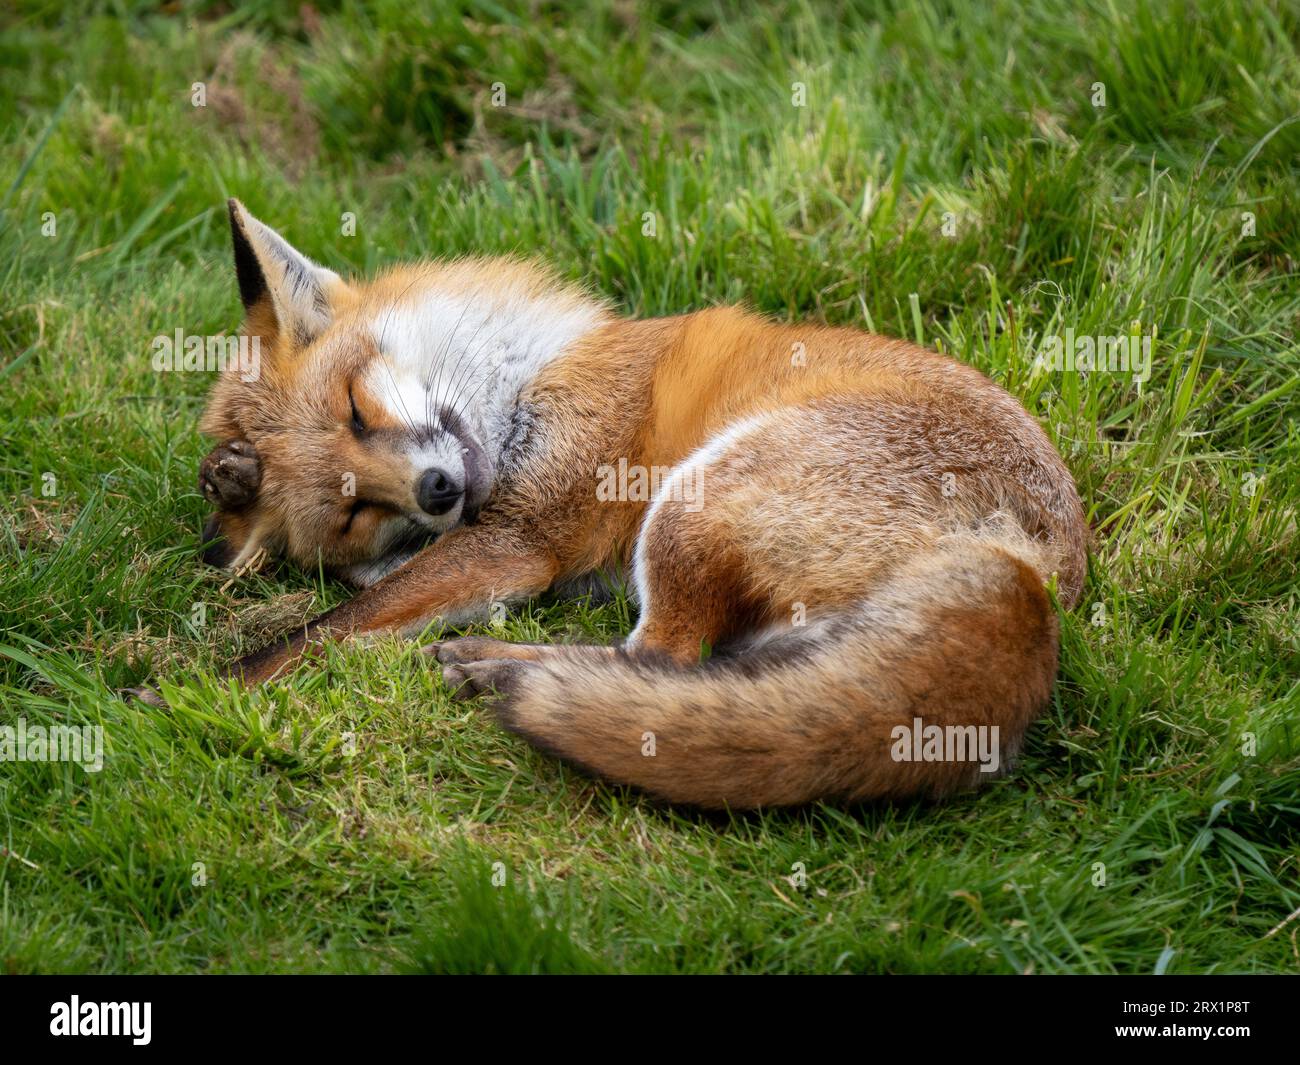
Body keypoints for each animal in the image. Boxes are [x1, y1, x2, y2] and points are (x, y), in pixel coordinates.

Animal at [186, 198, 1088, 809]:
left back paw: (502, 669)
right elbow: (354, 607)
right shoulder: (489, 540)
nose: (437, 491)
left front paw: (190, 694)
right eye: (354, 513)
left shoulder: (519, 538)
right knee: (680, 676)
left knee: (660, 657)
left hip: (690, 503)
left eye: (355, 409)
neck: (536, 375)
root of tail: (1031, 570)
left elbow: (312, 635)